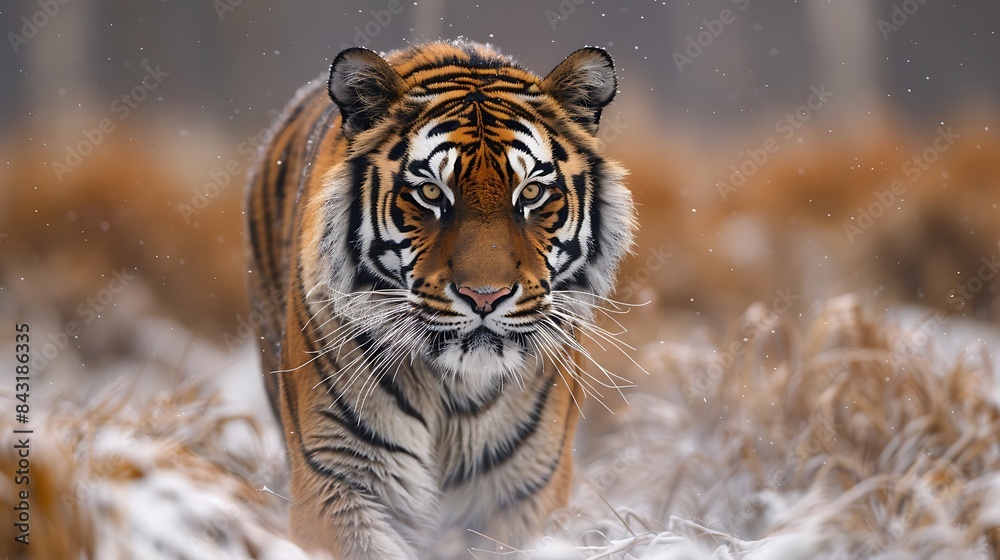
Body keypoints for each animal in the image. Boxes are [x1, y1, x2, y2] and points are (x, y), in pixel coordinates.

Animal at [244, 39, 636, 558]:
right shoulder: (338, 475)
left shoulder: (526, 489)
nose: (484, 296)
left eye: (531, 192)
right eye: (431, 192)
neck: (456, 394)